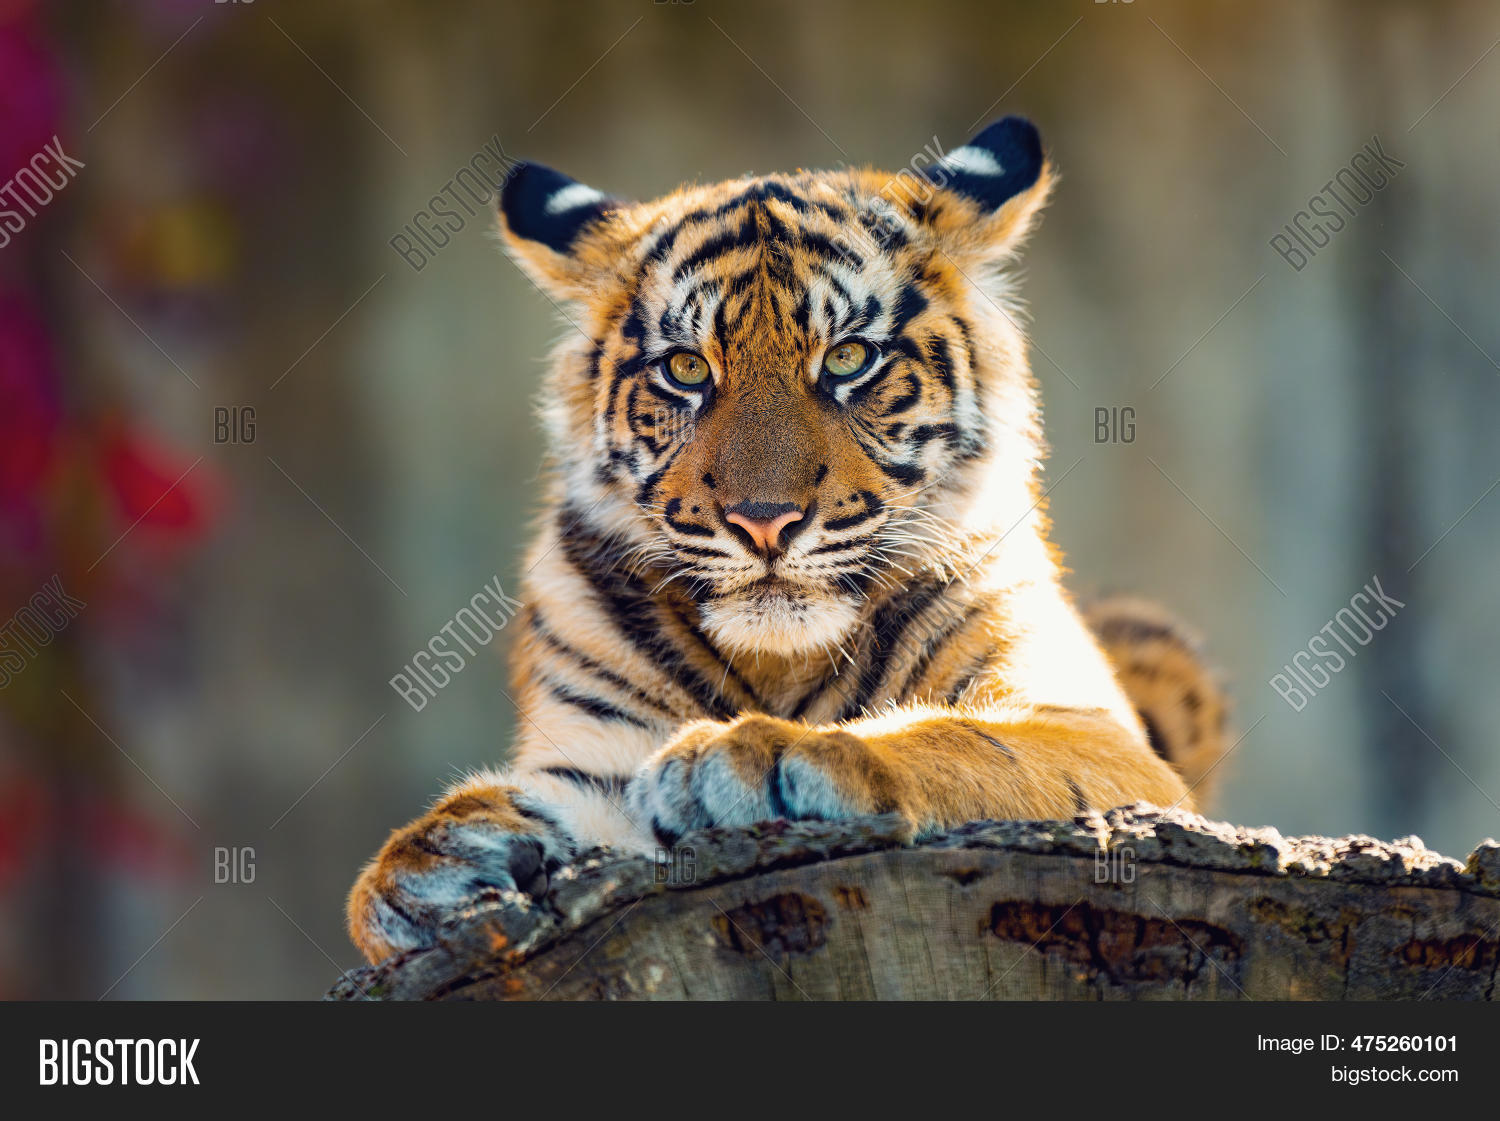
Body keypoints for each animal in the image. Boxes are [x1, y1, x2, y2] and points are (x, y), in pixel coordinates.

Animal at [347, 116, 1230, 964]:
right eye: (687, 370)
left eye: (848, 359)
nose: (764, 519)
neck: (779, 657)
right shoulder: (592, 749)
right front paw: (423, 864)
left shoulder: (1088, 728)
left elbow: (965, 740)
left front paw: (755, 757)